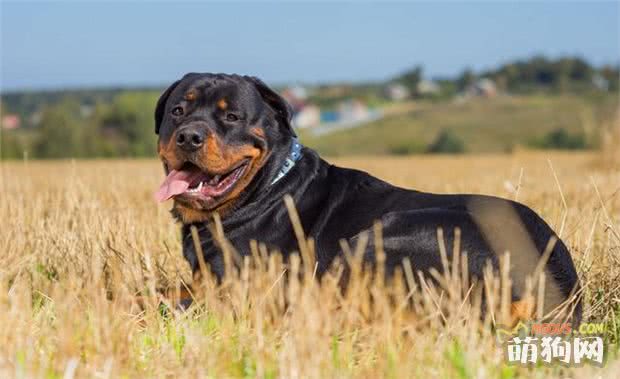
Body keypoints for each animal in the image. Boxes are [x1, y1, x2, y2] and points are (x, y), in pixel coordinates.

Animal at [154, 72, 580, 324]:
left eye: (232, 117)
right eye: (178, 110)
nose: (189, 135)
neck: (267, 185)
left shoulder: (243, 283)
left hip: (379, 239)